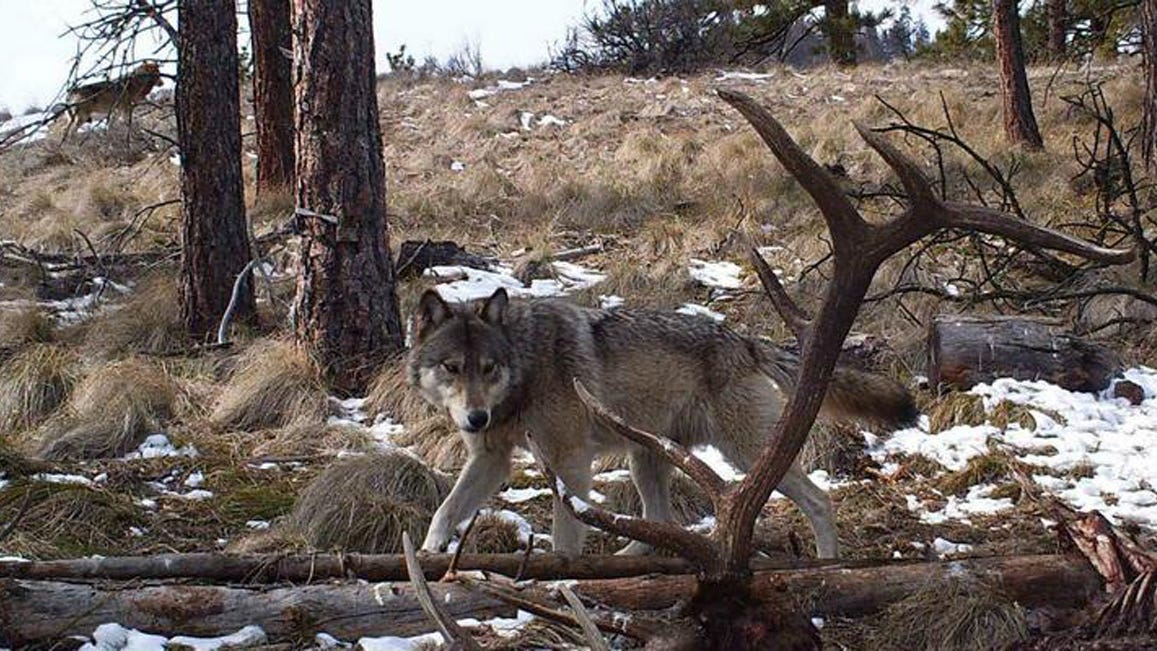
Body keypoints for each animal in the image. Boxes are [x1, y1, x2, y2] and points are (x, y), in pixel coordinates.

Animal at [411, 287, 916, 557]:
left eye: (488, 368)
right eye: (452, 368)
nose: (476, 417)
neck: (526, 365)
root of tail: (743, 339)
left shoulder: (569, 461)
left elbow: (566, 535)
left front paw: (562, 577)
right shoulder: (492, 458)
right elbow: (444, 511)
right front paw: (426, 557)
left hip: (743, 451)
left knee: (819, 500)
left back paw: (827, 564)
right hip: (645, 458)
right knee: (659, 522)